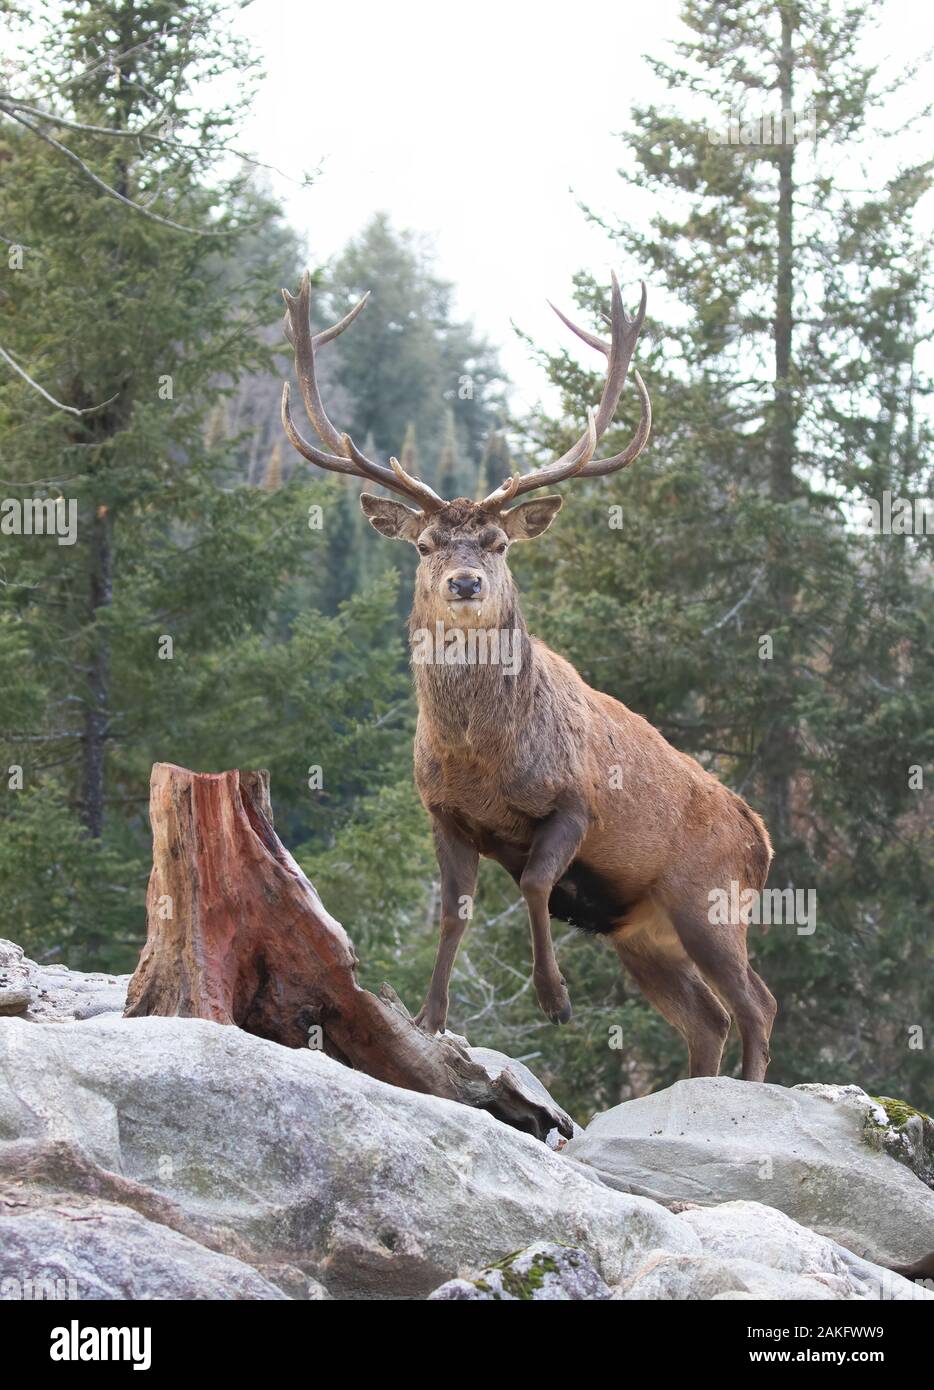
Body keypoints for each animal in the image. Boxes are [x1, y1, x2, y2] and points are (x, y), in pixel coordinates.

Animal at [280, 271, 778, 1082]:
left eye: (498, 542)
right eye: (425, 543)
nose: (465, 583)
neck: (483, 758)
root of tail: (761, 838)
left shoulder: (575, 802)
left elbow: (538, 883)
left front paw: (555, 998)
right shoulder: (443, 814)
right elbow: (453, 913)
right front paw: (429, 1019)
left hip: (711, 897)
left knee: (757, 1004)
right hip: (645, 933)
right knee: (709, 1018)